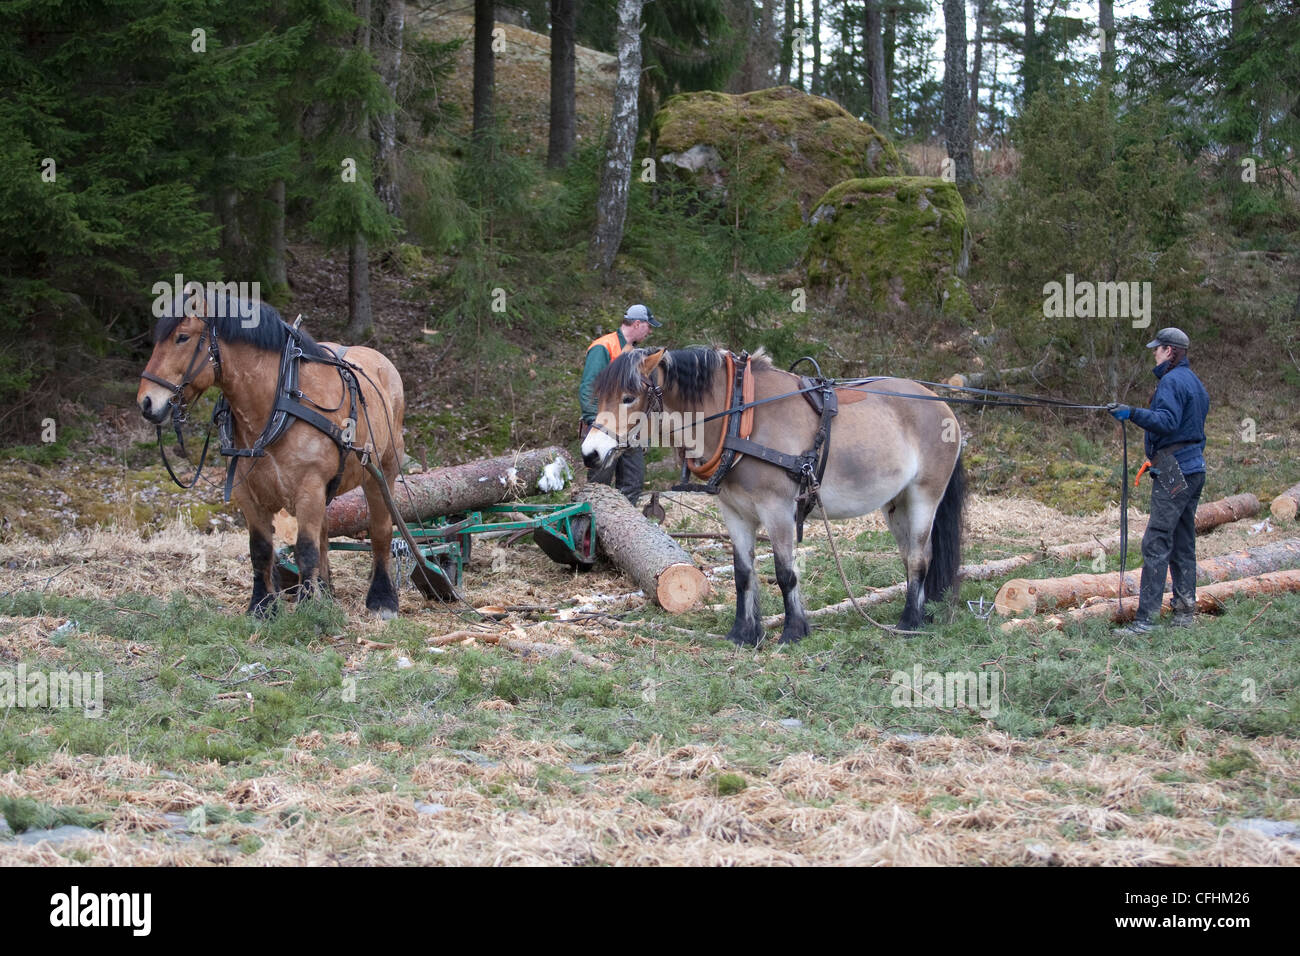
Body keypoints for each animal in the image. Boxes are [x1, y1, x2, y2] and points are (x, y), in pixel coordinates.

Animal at [137, 291, 407, 618]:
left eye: (182, 337)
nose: (146, 402)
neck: (278, 402)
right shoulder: (247, 493)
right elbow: (262, 549)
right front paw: (262, 605)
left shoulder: (309, 487)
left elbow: (305, 549)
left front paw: (307, 607)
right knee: (325, 534)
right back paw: (327, 593)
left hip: (382, 470)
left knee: (380, 531)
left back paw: (382, 598)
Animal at [581, 347, 965, 644]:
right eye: (601, 396)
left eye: (629, 397)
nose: (590, 454)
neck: (741, 418)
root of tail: (941, 405)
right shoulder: (734, 512)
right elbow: (742, 573)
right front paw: (743, 633)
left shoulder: (777, 509)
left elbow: (785, 572)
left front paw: (794, 630)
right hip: (895, 504)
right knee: (912, 556)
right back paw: (921, 614)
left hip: (924, 496)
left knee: (918, 558)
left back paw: (909, 622)